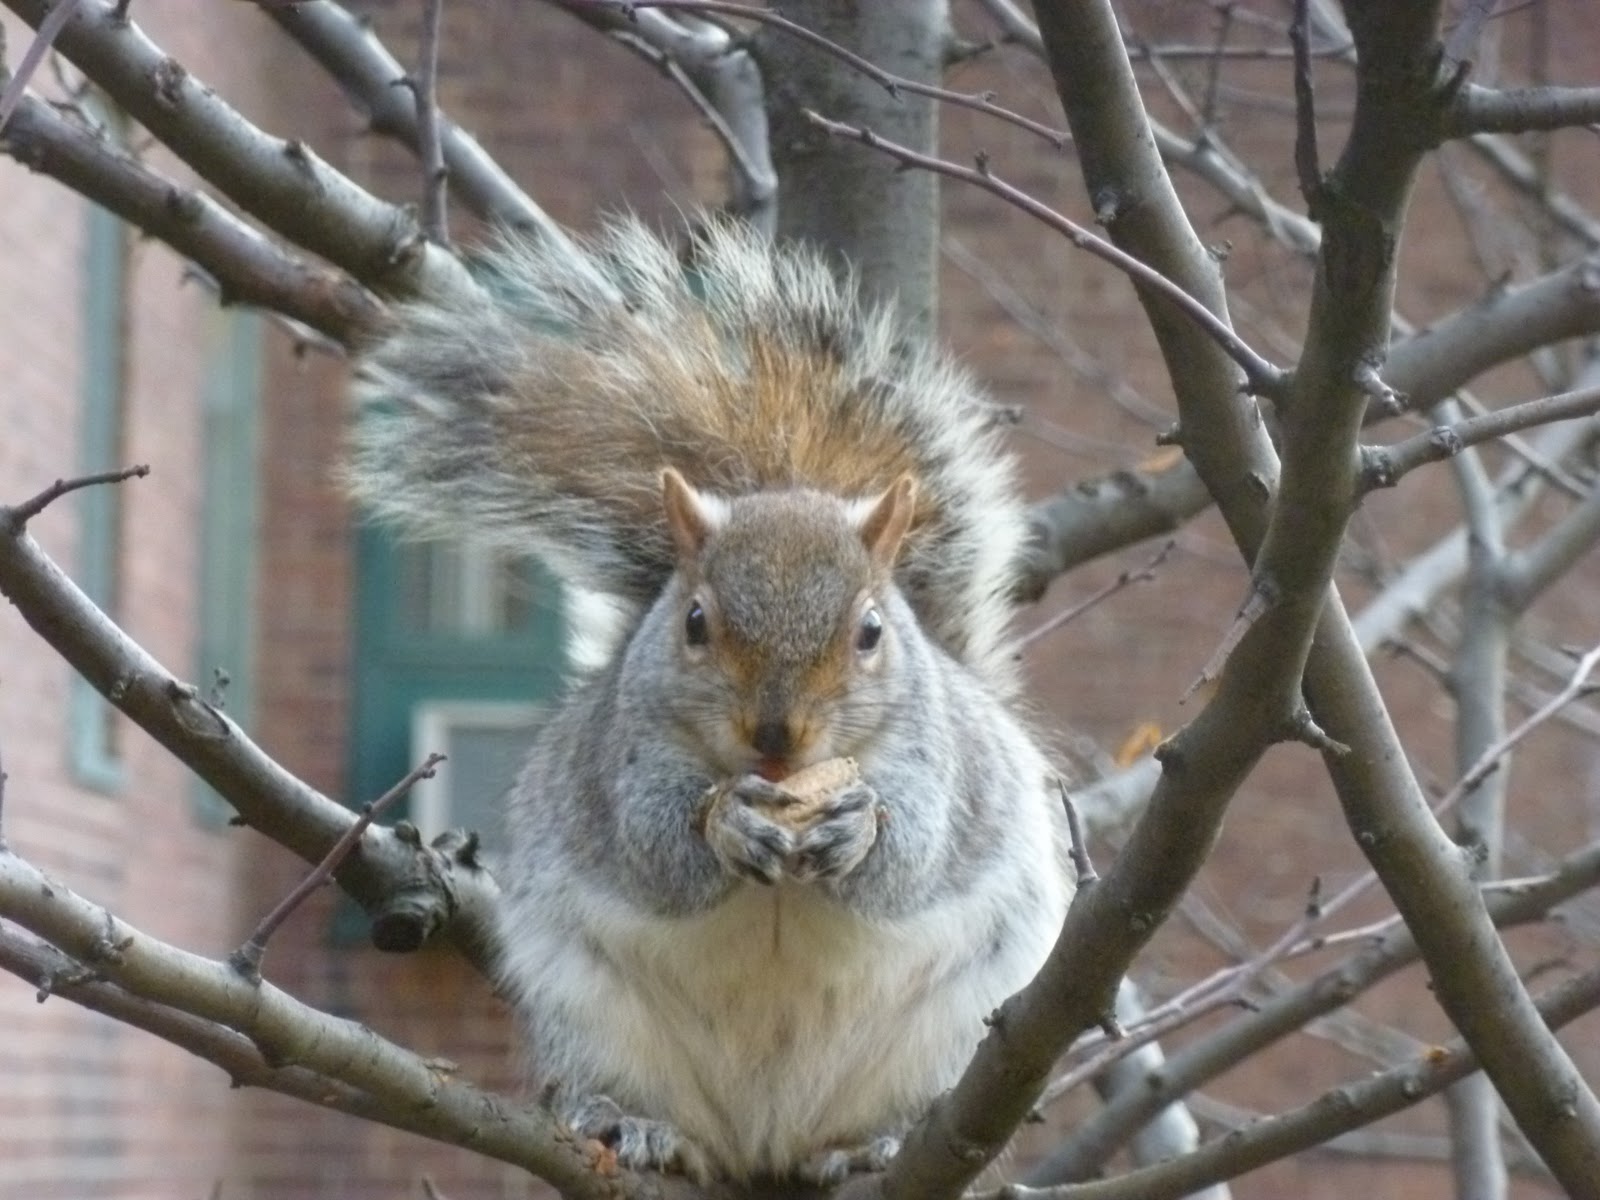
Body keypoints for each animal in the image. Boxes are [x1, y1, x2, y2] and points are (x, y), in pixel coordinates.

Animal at [347, 218, 1075, 1184]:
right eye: (695, 622)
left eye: (872, 632)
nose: (776, 734)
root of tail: (768, 1141)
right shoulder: (622, 760)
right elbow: (654, 846)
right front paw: (724, 825)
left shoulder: (941, 765)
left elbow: (914, 855)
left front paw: (861, 828)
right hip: (587, 1008)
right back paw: (632, 1124)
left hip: (965, 1025)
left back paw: (877, 1140)